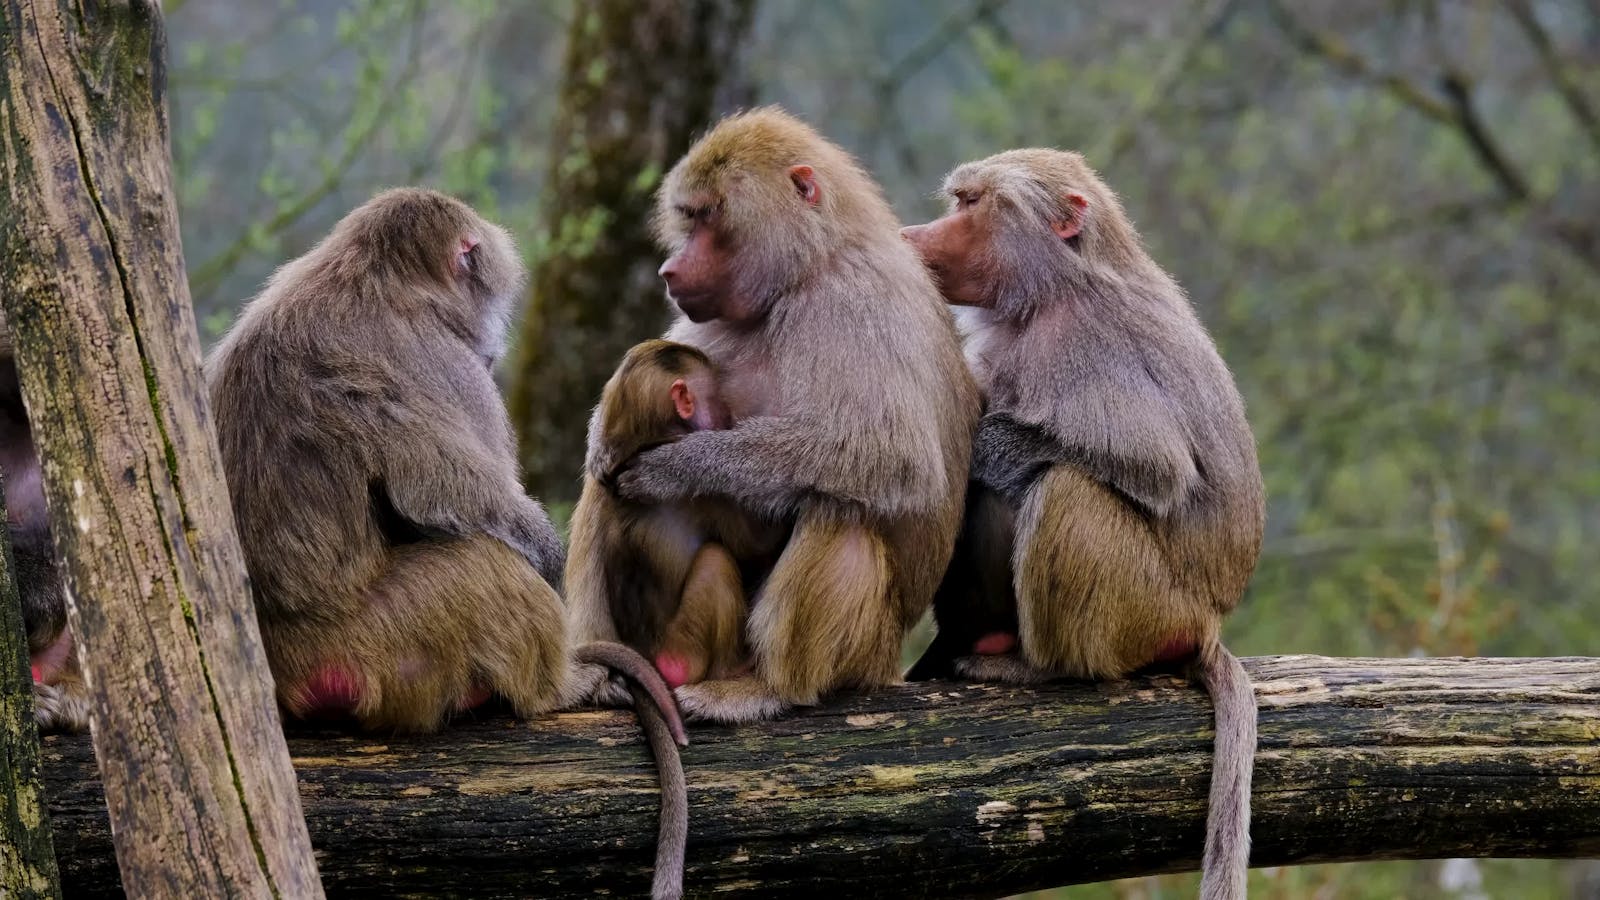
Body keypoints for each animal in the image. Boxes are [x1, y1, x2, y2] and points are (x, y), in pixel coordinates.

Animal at [207, 189, 689, 900]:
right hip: (385, 638)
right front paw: (545, 557)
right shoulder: (447, 362)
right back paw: (558, 688)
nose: (492, 345)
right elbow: (455, 493)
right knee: (482, 566)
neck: (372, 274)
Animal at [567, 339, 780, 697]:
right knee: (715, 560)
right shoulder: (708, 495)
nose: (728, 418)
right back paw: (733, 668)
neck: (643, 441)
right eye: (719, 401)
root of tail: (650, 658)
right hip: (684, 651)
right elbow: (761, 546)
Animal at [607, 107, 981, 723]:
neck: (807, 269)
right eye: (689, 218)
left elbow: (890, 454)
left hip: (865, 648)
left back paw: (770, 687)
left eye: (709, 217)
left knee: (842, 507)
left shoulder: (854, 300)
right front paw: (602, 437)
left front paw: (676, 467)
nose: (669, 270)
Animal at [901, 149, 1265, 900]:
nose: (914, 237)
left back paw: (1043, 670)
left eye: (972, 204)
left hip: (1146, 608)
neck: (1053, 288)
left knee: (1065, 488)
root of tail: (1207, 621)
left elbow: (1152, 465)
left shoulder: (1086, 342)